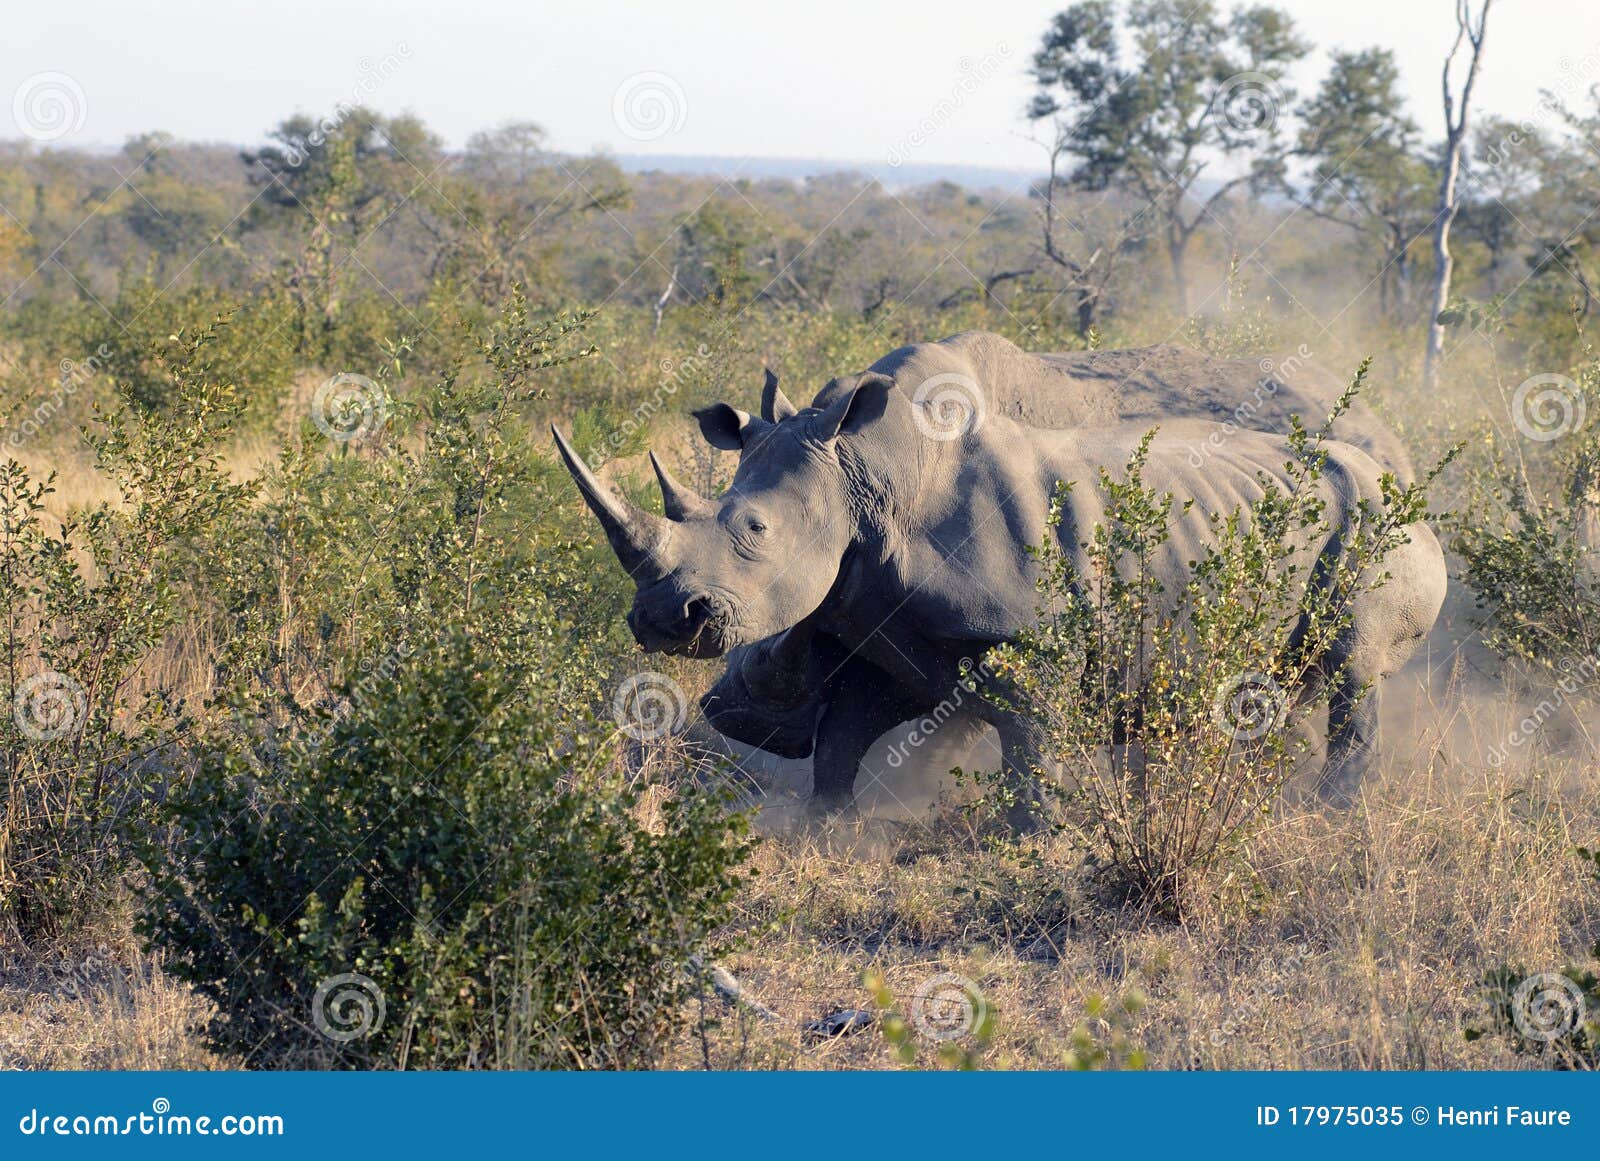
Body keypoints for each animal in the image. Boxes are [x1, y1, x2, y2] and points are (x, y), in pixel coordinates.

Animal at [553, 336, 1447, 816]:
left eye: (754, 531)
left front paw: (1030, 841)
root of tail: (1412, 483)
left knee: (1354, 669)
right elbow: (844, 739)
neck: (866, 476)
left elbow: (1029, 749)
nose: (662, 621)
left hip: (1383, 530)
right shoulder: (886, 634)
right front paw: (829, 826)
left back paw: (1329, 811)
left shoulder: (1029, 642)